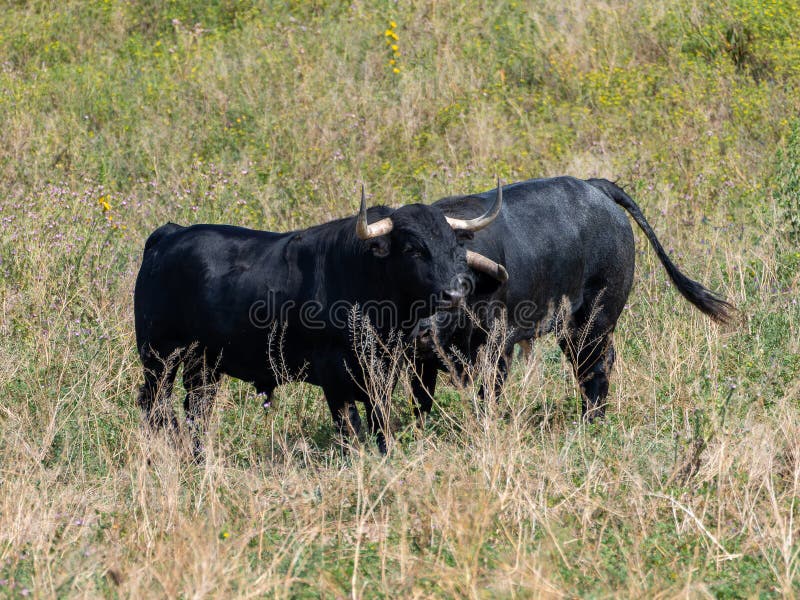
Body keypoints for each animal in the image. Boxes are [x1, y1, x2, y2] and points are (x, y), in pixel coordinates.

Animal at [134, 186, 508, 455]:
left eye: (454, 247)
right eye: (414, 249)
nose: (453, 294)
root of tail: (170, 234)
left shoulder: (384, 367)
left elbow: (380, 416)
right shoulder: (333, 371)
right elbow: (348, 424)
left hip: (204, 362)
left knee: (197, 408)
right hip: (159, 356)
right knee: (155, 406)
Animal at [410, 177, 733, 422]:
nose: (422, 331)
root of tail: (595, 187)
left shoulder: (499, 347)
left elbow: (488, 395)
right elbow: (421, 400)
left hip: (596, 318)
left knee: (597, 363)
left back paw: (592, 419)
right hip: (571, 328)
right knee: (585, 364)